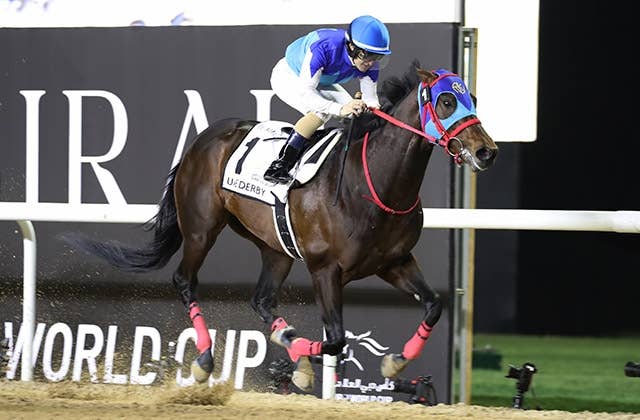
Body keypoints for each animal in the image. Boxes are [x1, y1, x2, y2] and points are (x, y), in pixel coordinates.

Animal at [63, 61, 498, 391]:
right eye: (445, 100)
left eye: (473, 99)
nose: (486, 152)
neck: (373, 181)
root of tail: (202, 139)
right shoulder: (326, 269)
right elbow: (336, 340)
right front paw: (302, 370)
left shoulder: (394, 261)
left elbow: (433, 305)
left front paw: (393, 363)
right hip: (202, 228)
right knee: (185, 281)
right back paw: (204, 360)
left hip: (275, 248)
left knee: (262, 299)